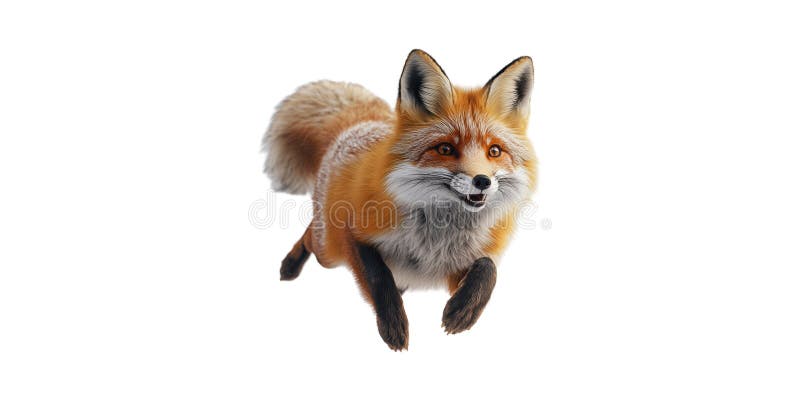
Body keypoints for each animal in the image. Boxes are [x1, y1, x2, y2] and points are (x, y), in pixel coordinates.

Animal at [262, 49, 536, 350]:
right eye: (445, 149)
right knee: (312, 234)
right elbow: (379, 277)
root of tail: (359, 125)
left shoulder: (459, 265)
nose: (482, 181)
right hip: (328, 253)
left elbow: (488, 269)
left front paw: (463, 312)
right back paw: (290, 265)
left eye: (494, 151)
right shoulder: (355, 235)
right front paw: (393, 325)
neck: (437, 237)